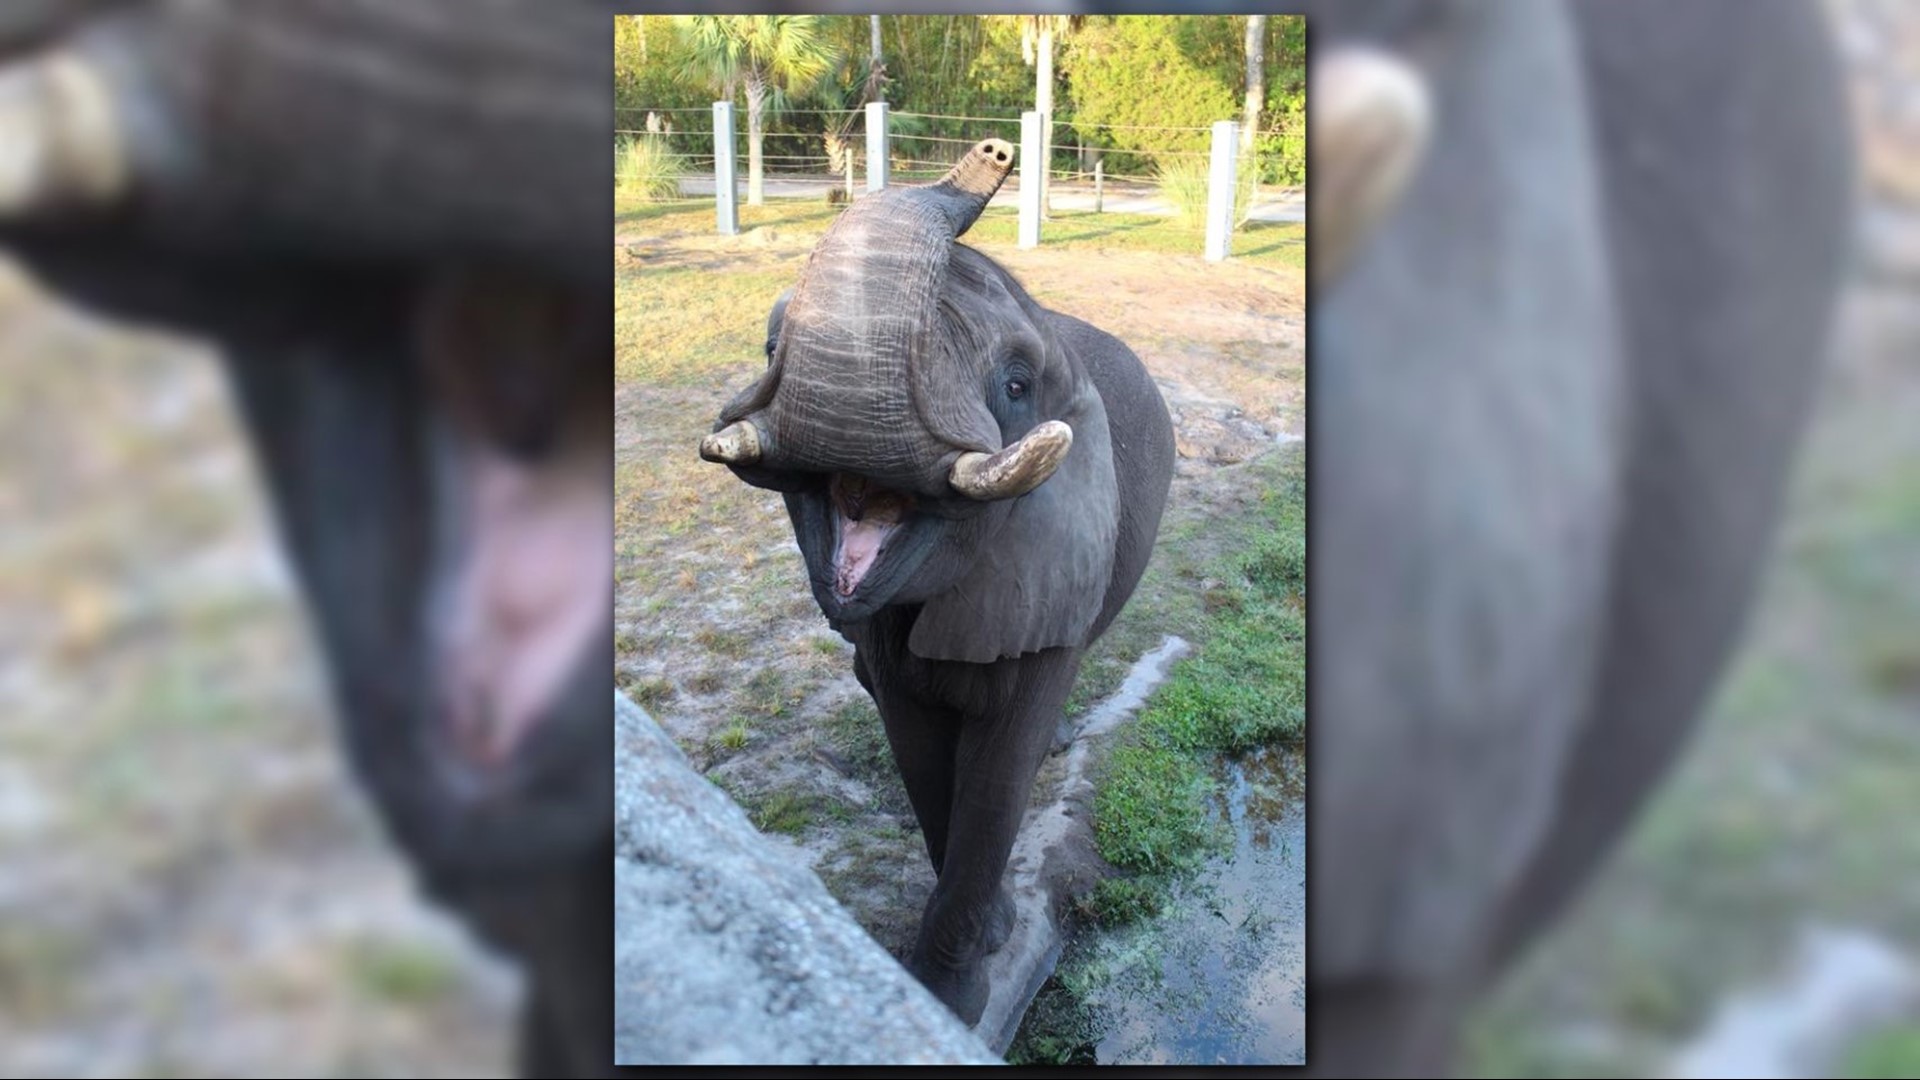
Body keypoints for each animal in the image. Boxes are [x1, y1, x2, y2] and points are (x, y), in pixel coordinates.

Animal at [697, 138, 1176, 1024]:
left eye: (1016, 385)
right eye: (772, 351)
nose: (994, 150)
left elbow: (998, 772)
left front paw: (954, 994)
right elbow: (918, 749)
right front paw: (974, 948)